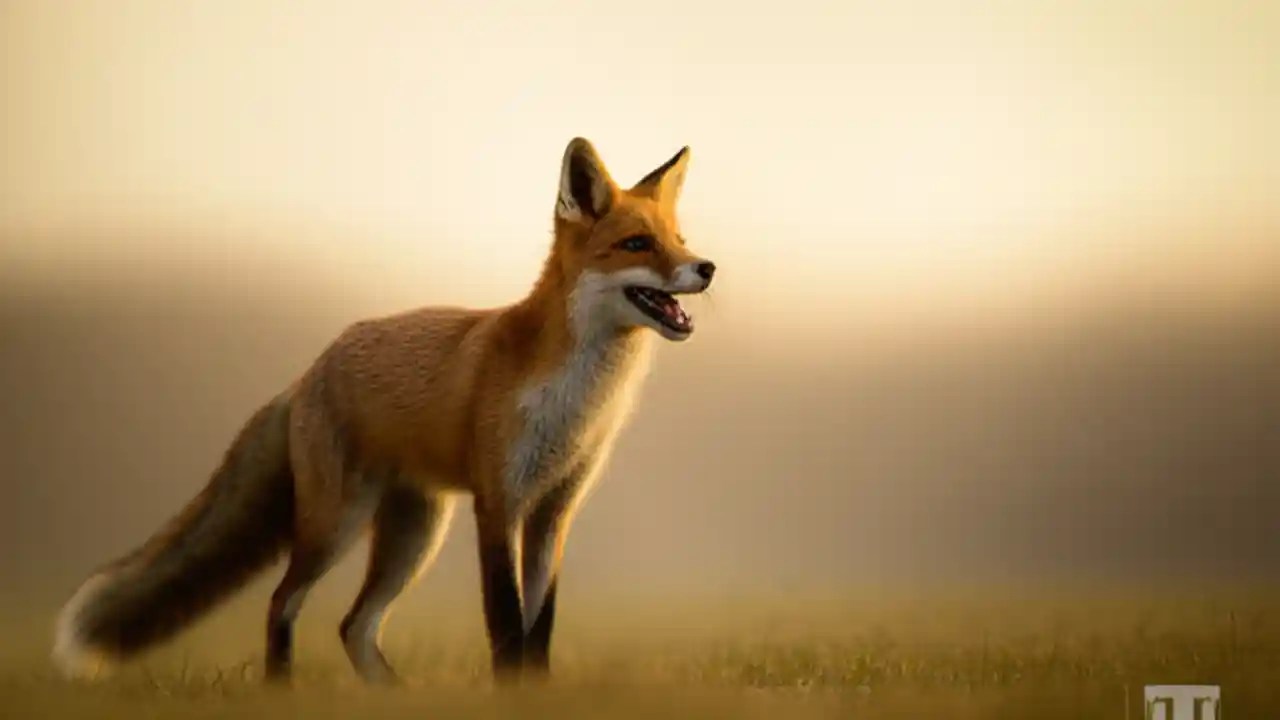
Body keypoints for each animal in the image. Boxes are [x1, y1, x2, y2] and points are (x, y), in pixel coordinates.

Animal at [52, 138, 716, 685]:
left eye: (680, 241)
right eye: (637, 245)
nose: (706, 268)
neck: (577, 400)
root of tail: (308, 372)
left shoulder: (554, 512)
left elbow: (539, 636)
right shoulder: (499, 504)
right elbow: (505, 629)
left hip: (413, 535)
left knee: (354, 626)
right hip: (337, 524)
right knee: (282, 603)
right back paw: (282, 692)